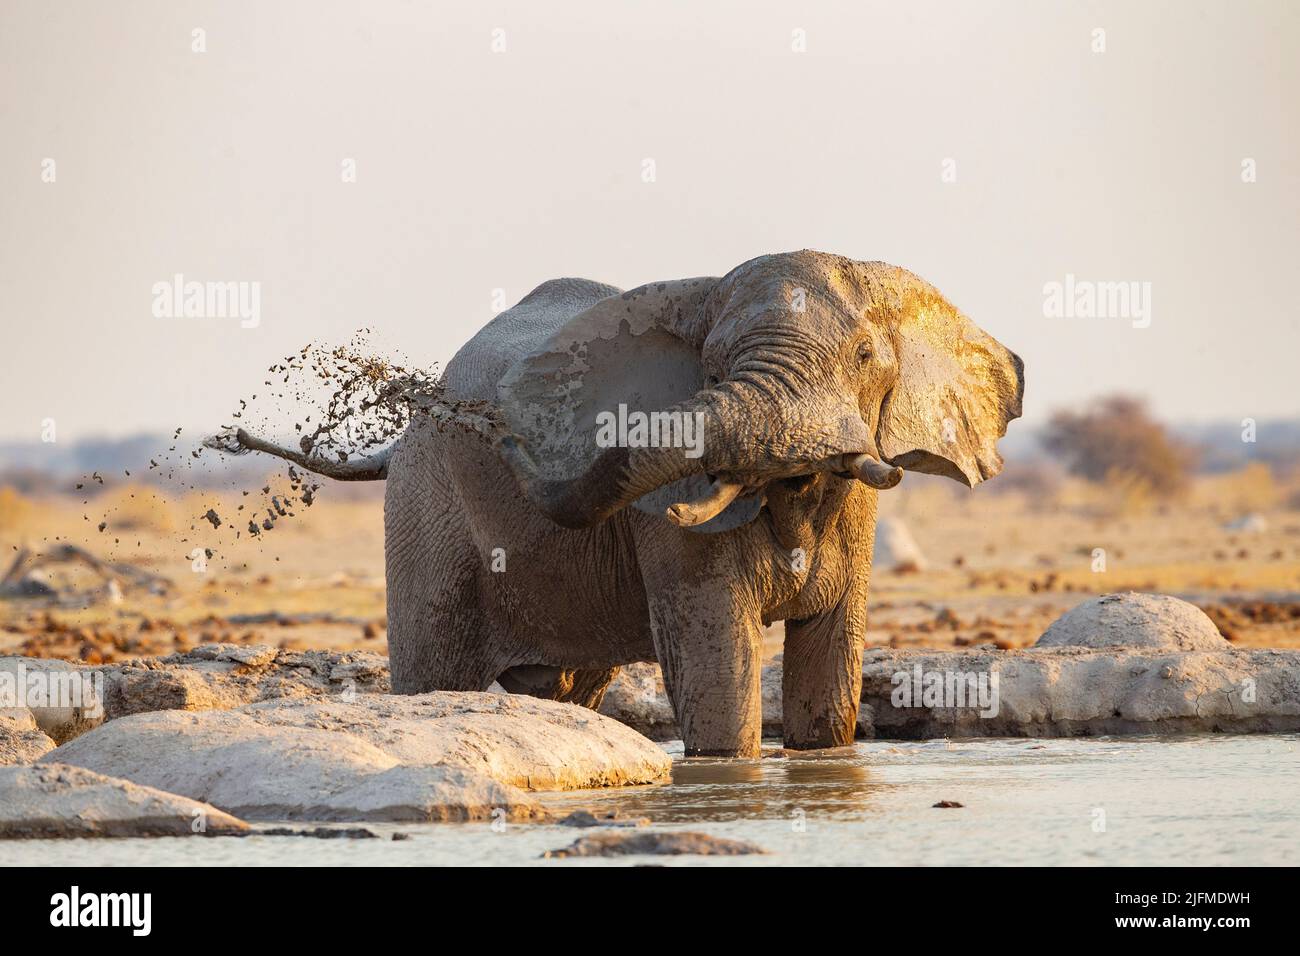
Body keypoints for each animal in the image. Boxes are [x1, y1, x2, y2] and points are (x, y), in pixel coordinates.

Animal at [221, 250, 1024, 757]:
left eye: (864, 358)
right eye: (712, 366)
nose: (507, 432)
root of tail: (417, 416)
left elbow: (830, 679)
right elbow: (720, 676)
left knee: (566, 691)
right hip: (426, 508)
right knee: (434, 678)